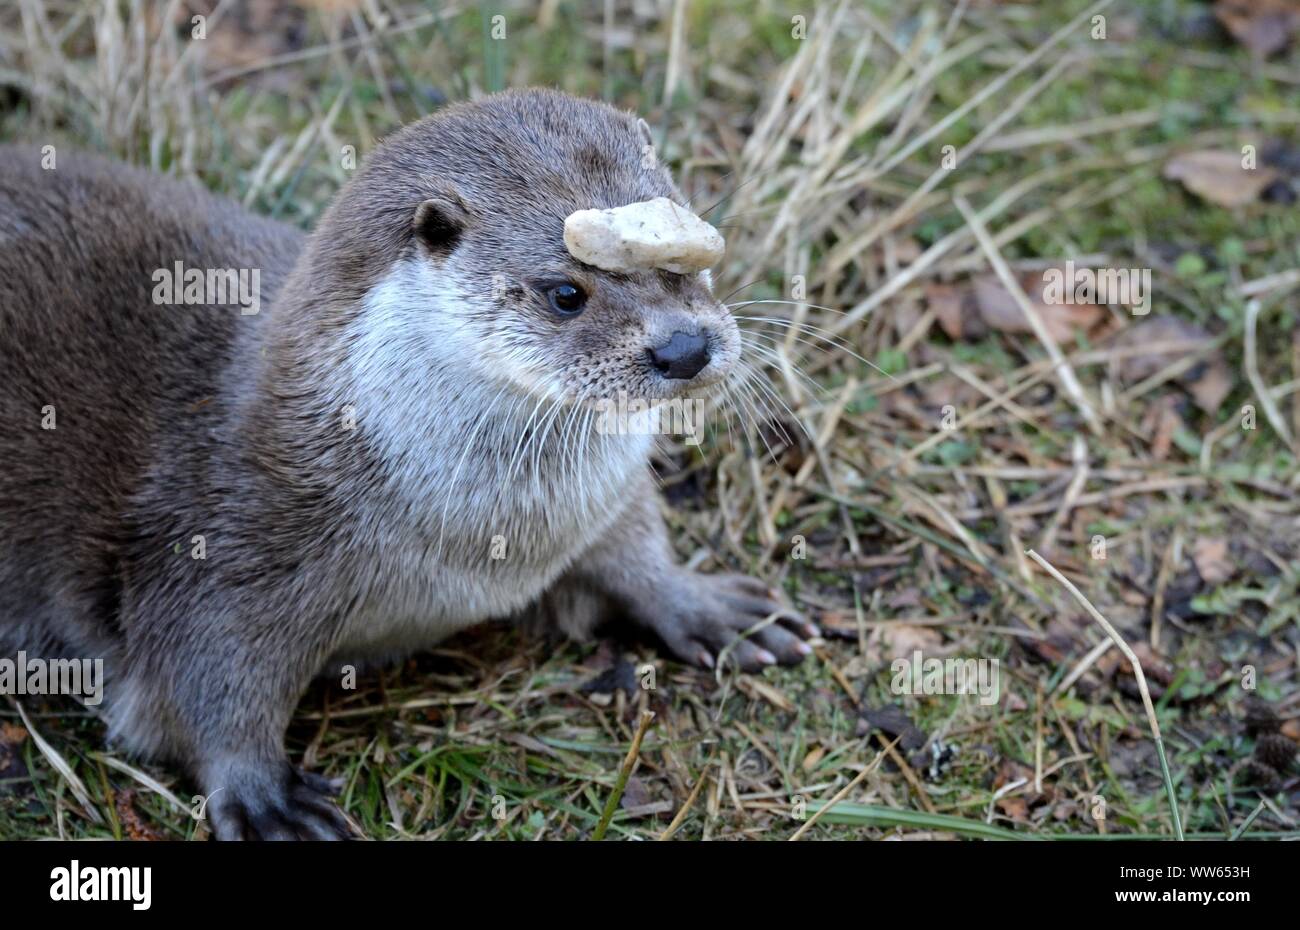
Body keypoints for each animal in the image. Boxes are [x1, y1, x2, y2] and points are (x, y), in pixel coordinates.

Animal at [0, 89, 814, 840]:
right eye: (565, 293)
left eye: (691, 261)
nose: (686, 347)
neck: (478, 547)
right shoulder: (221, 547)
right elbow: (201, 684)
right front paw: (264, 799)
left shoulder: (603, 504)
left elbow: (636, 550)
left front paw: (706, 604)